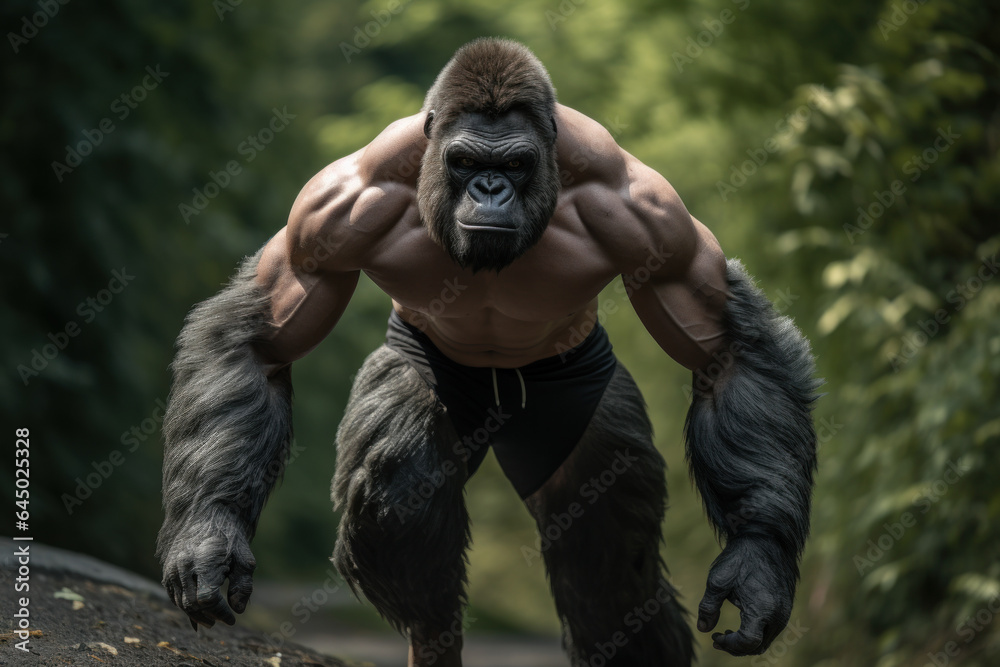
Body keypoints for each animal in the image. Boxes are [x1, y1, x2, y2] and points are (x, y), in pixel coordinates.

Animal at [157, 37, 819, 667]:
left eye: (515, 164)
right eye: (468, 161)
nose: (491, 188)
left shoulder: (655, 219)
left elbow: (728, 352)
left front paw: (756, 565)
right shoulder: (327, 213)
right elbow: (260, 341)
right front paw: (209, 536)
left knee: (606, 571)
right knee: (401, 494)